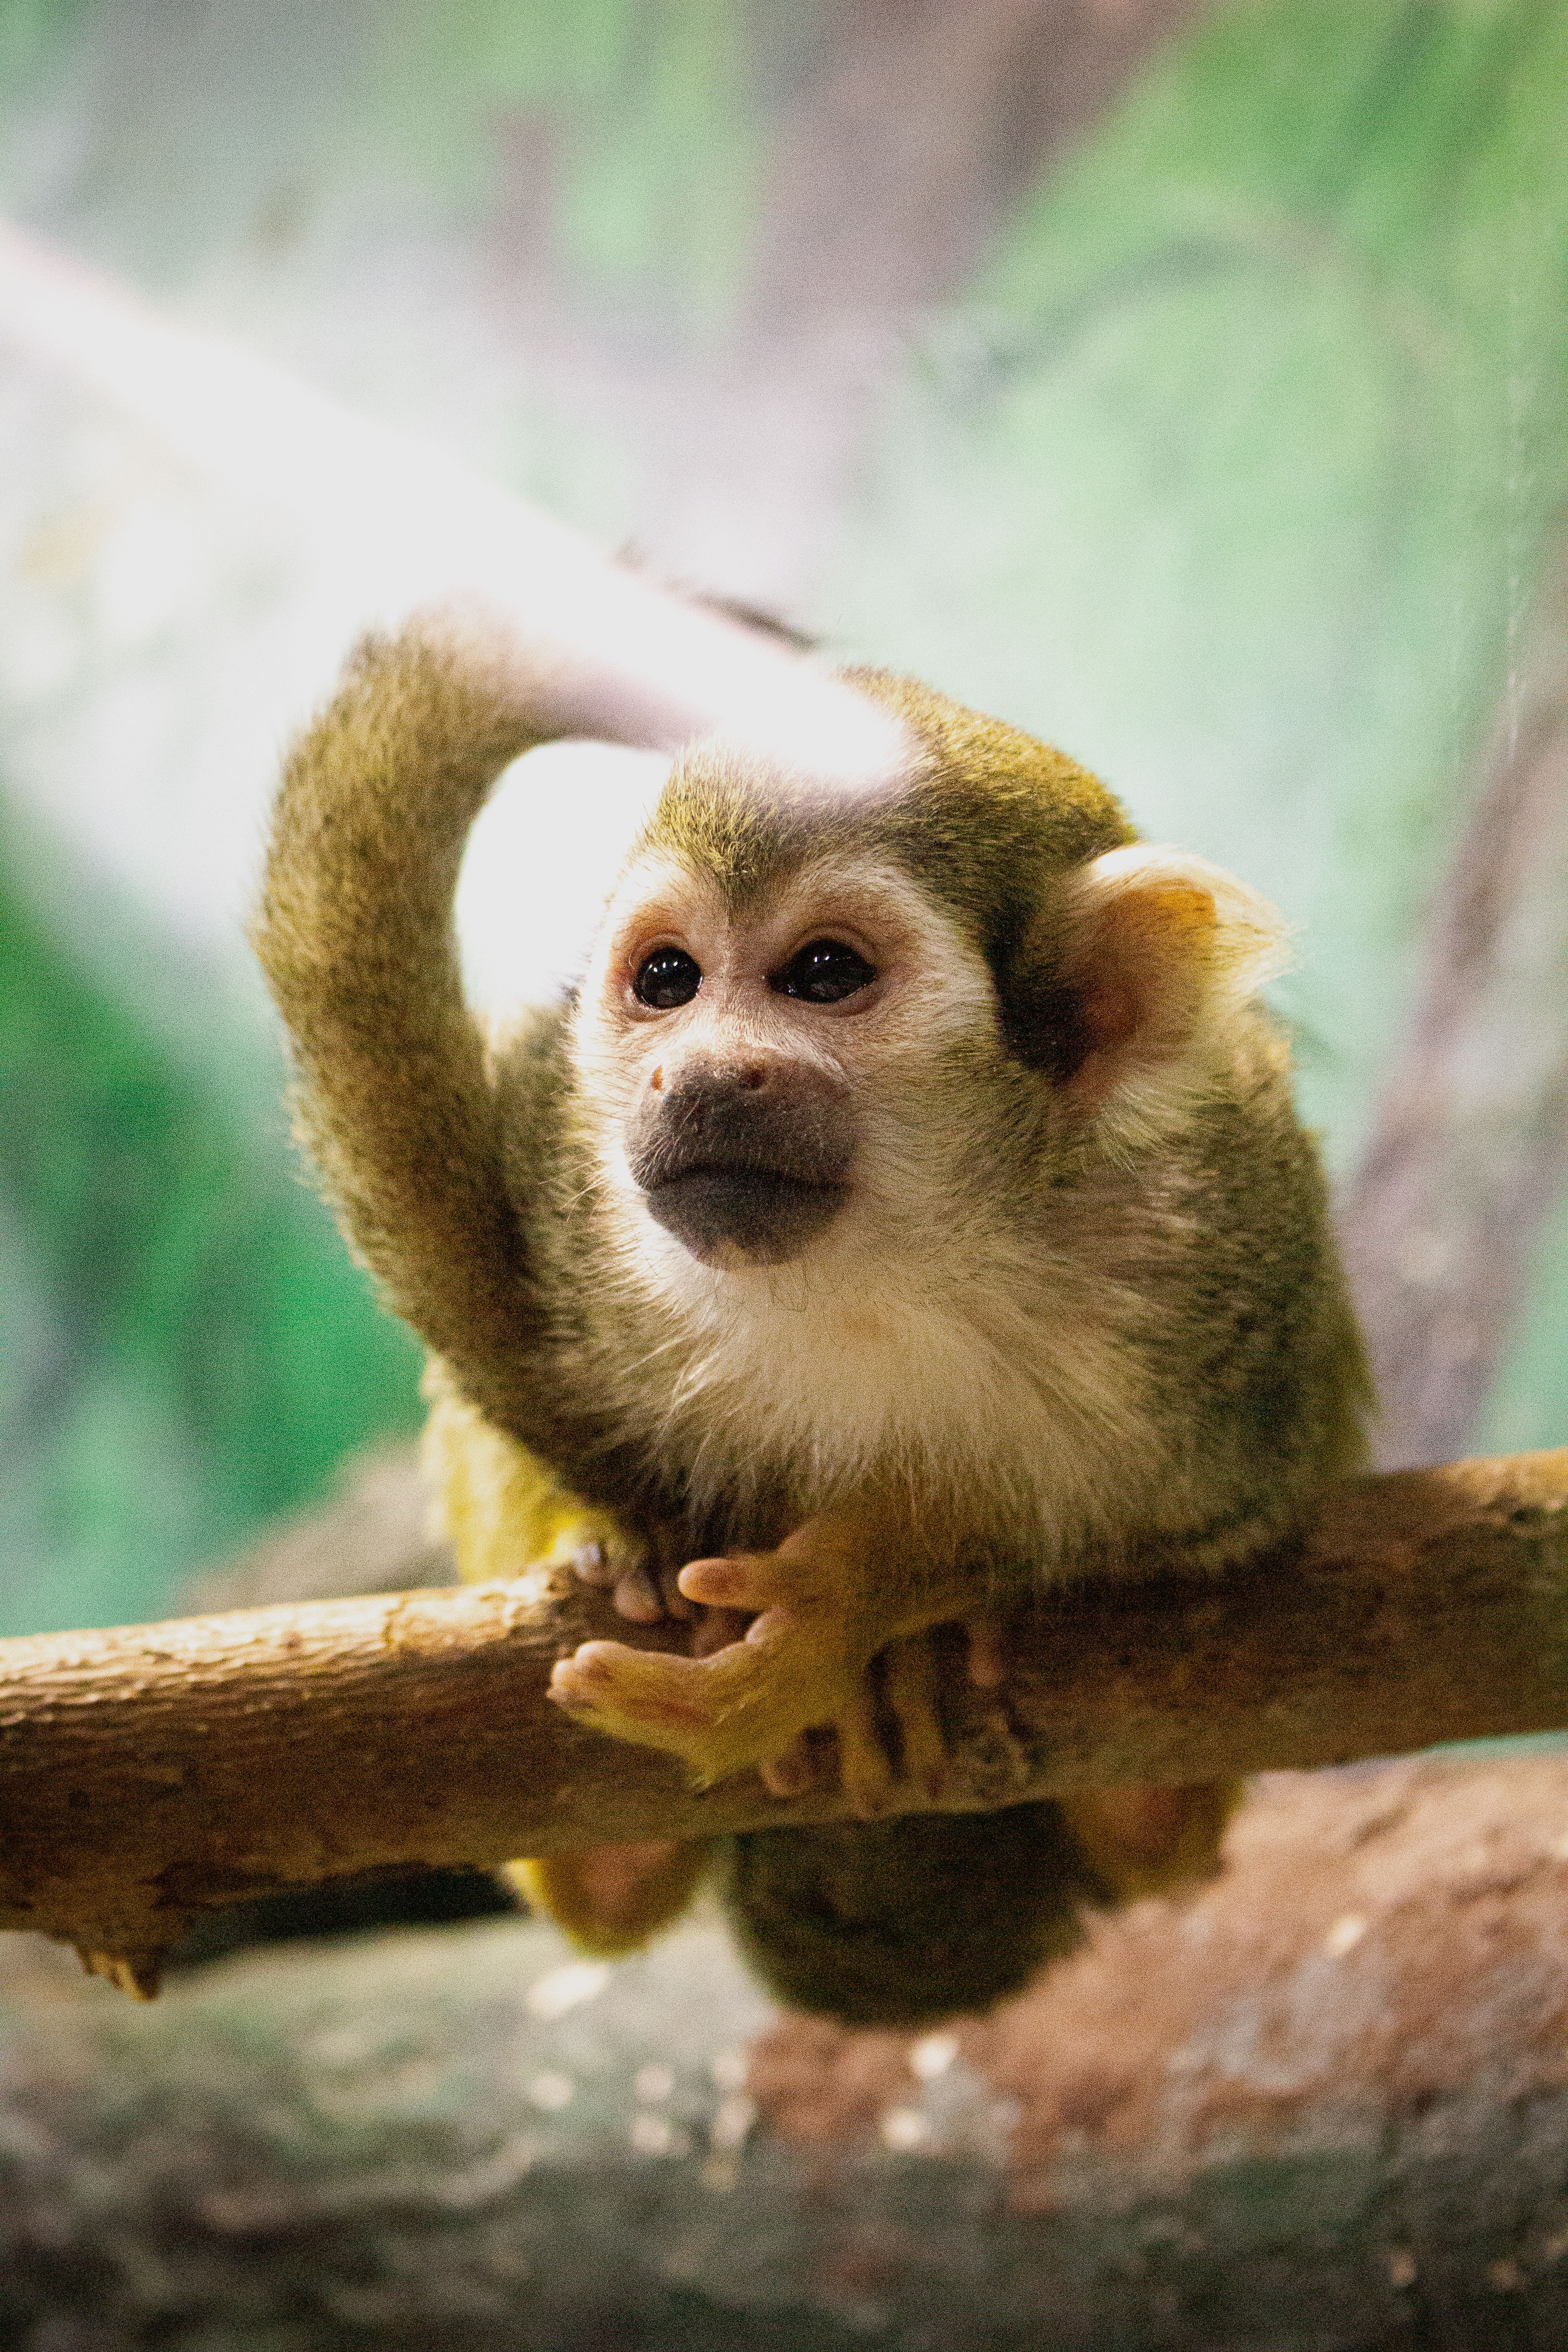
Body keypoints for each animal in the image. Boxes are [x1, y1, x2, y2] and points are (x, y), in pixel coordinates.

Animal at [252, 605, 1372, 2025]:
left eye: (824, 973)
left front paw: (867, 1597)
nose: (698, 1073)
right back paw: (613, 1839)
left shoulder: (1218, 1253)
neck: (904, 1250)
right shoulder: (562, 1163)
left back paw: (1138, 1804)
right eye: (668, 980)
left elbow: (1225, 1501)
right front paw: (624, 1537)